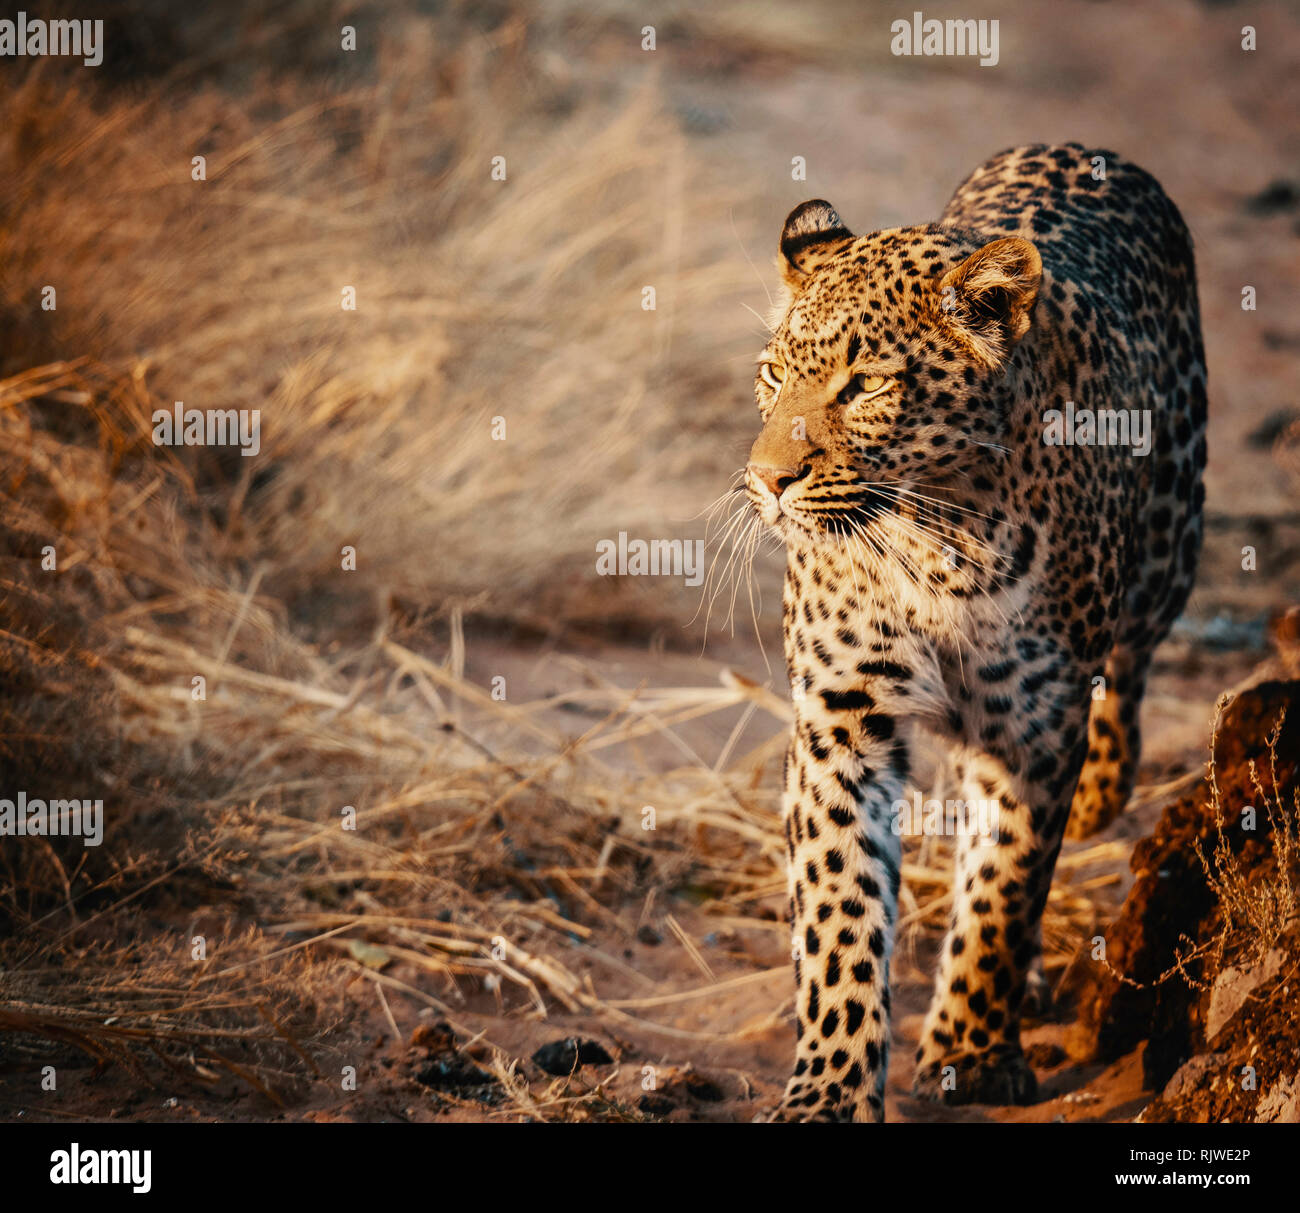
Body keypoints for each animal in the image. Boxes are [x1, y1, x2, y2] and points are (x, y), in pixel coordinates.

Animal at [740, 143, 1207, 1122]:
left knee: (1133, 657)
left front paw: (970, 1049)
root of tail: (1084, 148)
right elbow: (840, 911)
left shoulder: (1035, 723)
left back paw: (1105, 783)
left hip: (1167, 545)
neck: (935, 541)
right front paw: (829, 1086)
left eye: (865, 385)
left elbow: (1005, 887)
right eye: (771, 374)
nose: (766, 481)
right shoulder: (841, 715)